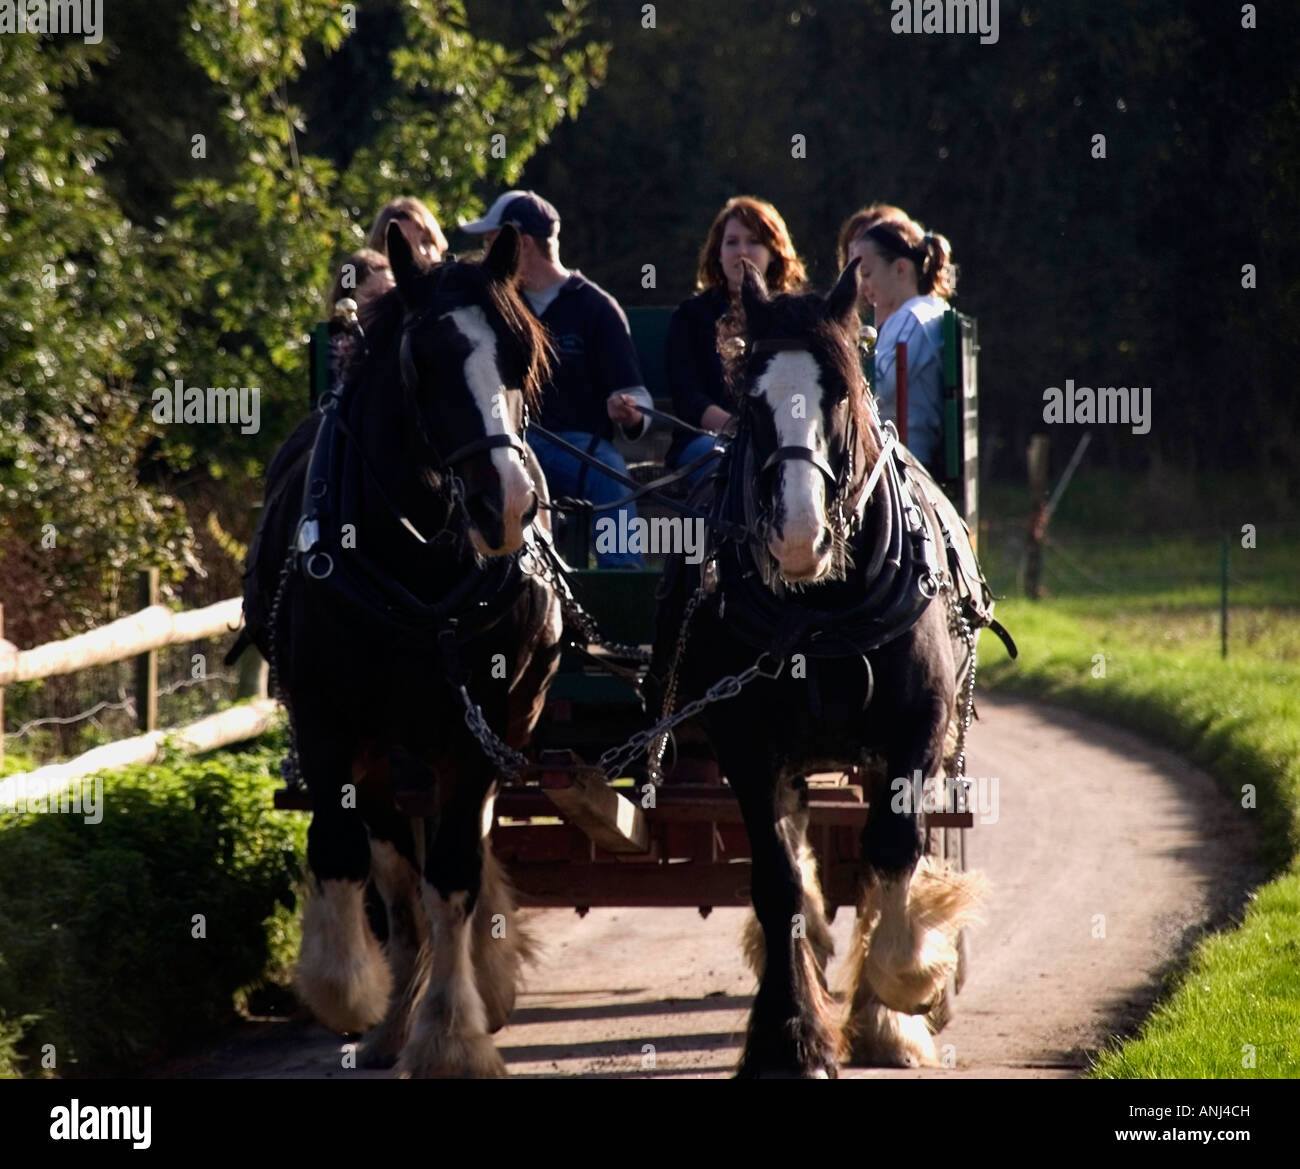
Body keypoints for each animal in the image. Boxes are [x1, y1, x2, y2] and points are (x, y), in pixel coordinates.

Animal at [228, 223, 563, 1078]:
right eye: (427, 359)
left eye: (521, 354)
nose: (507, 504)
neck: (416, 562)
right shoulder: (326, 720)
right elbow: (343, 851)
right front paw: (350, 992)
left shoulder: (481, 729)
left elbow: (453, 877)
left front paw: (450, 1032)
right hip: (386, 751)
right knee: (389, 865)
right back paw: (388, 1021)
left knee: (452, 854)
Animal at [648, 258, 989, 1077]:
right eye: (752, 399)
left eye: (841, 391)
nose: (799, 534)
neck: (821, 607)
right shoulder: (746, 740)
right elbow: (776, 880)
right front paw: (789, 1032)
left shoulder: (917, 731)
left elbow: (893, 851)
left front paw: (901, 993)